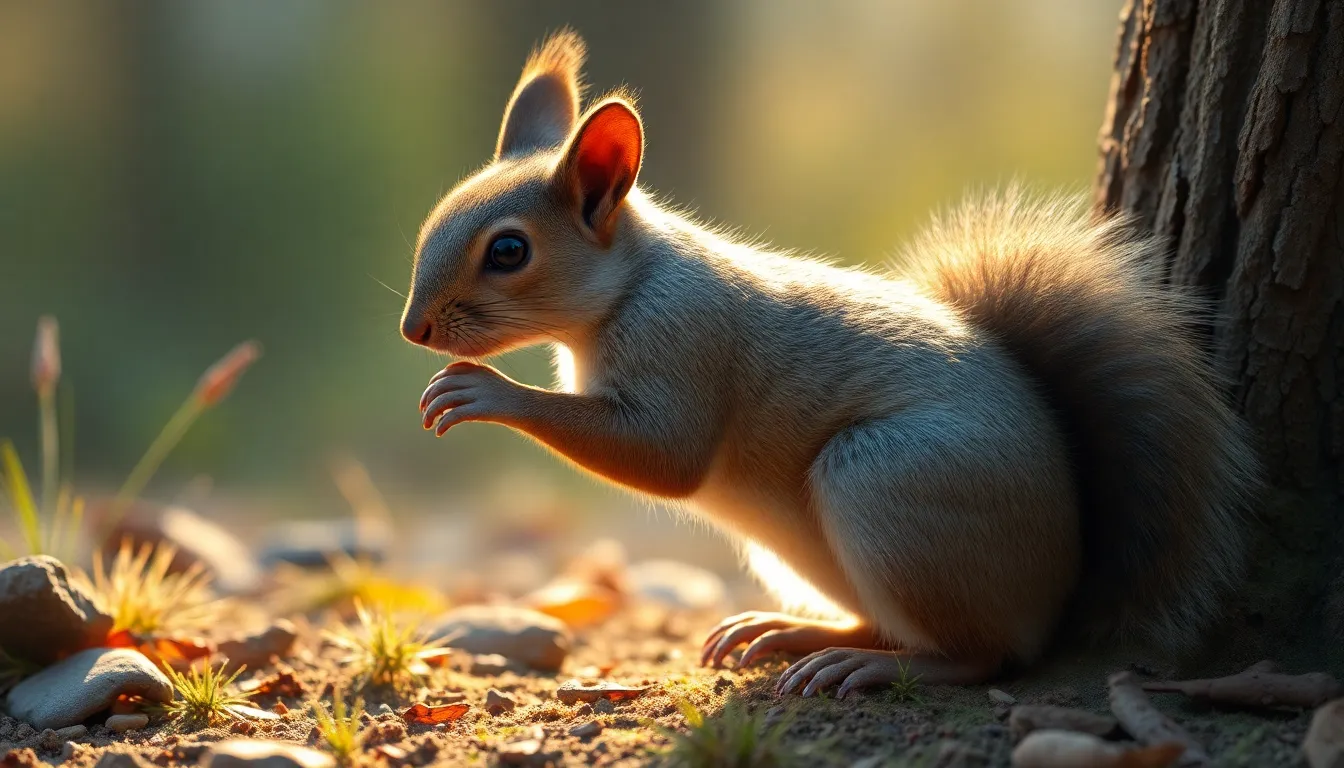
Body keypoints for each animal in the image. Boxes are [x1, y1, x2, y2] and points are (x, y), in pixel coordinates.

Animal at [399, 30, 1259, 695]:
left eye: (509, 251)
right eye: (434, 218)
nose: (414, 329)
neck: (630, 284)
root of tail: (1060, 588)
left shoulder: (686, 339)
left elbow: (667, 456)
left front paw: (487, 393)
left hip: (884, 478)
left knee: (983, 653)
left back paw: (875, 665)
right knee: (885, 622)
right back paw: (795, 633)